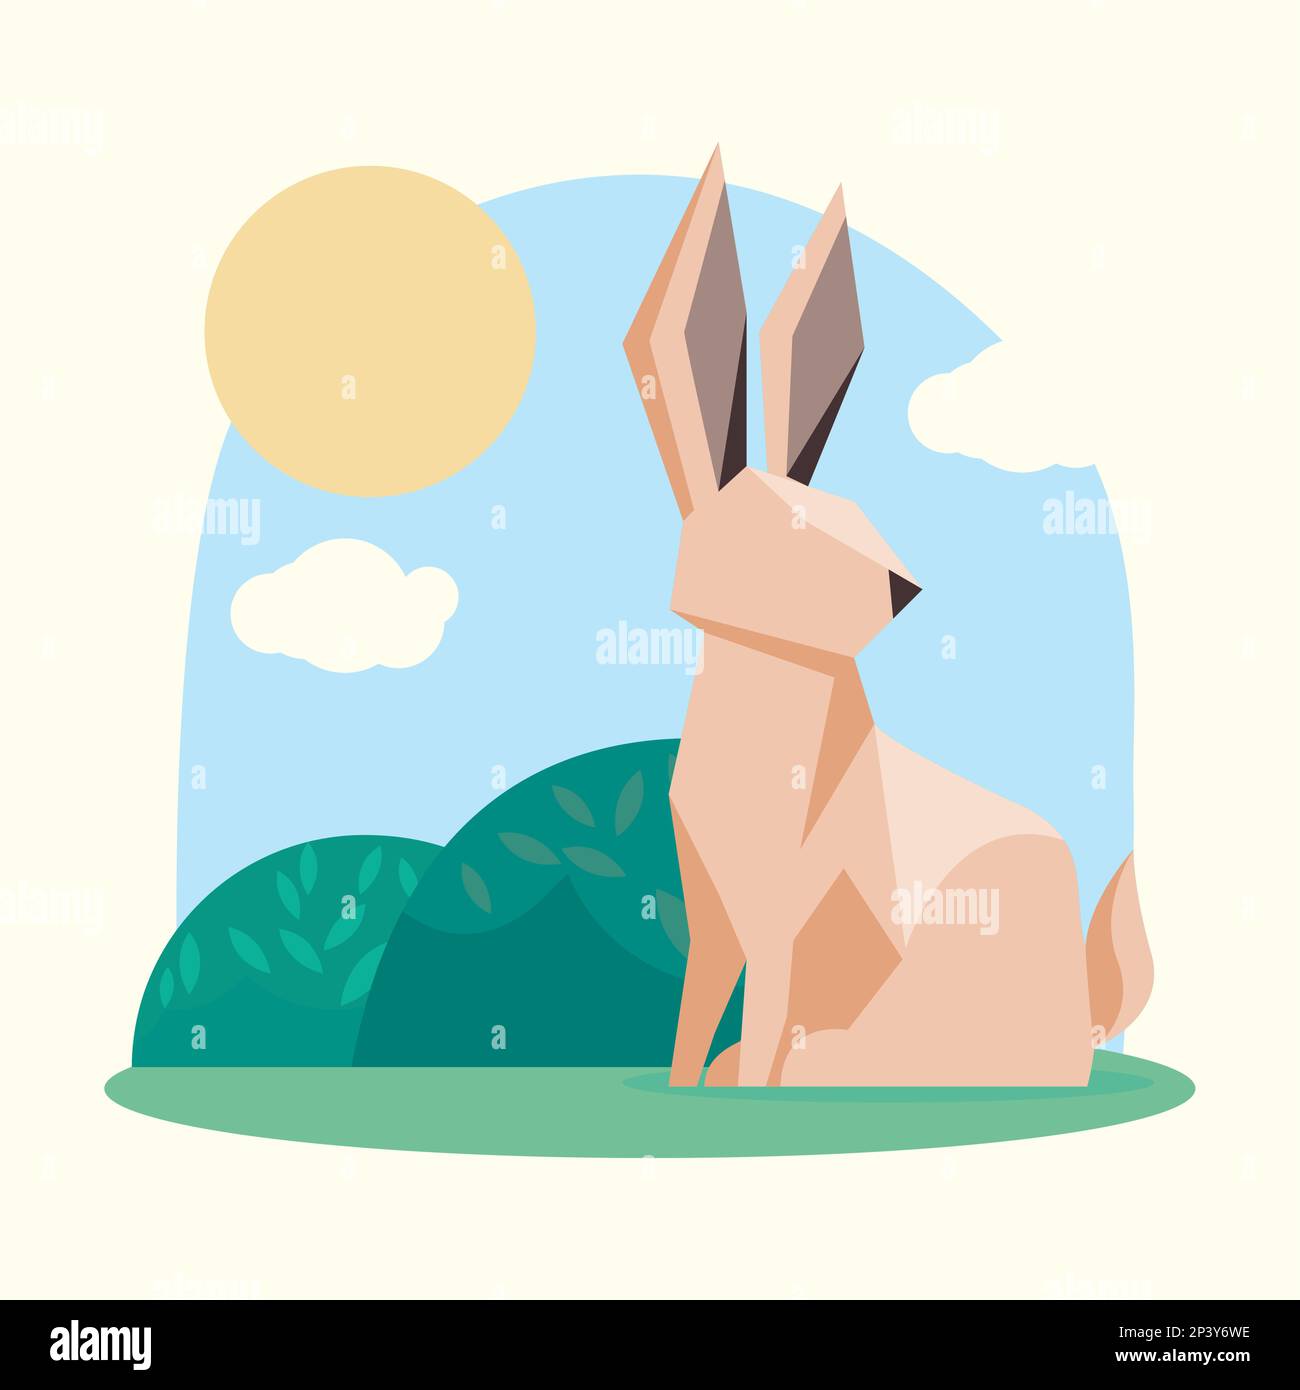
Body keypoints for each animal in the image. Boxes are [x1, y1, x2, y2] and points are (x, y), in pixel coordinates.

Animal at [624, 150, 1153, 1087]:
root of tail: (1082, 1033)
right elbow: (698, 1004)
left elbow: (765, 1006)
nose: (903, 587)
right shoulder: (715, 906)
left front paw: (744, 1093)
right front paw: (687, 1087)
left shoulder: (787, 915)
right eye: (792, 527)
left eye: (862, 518)